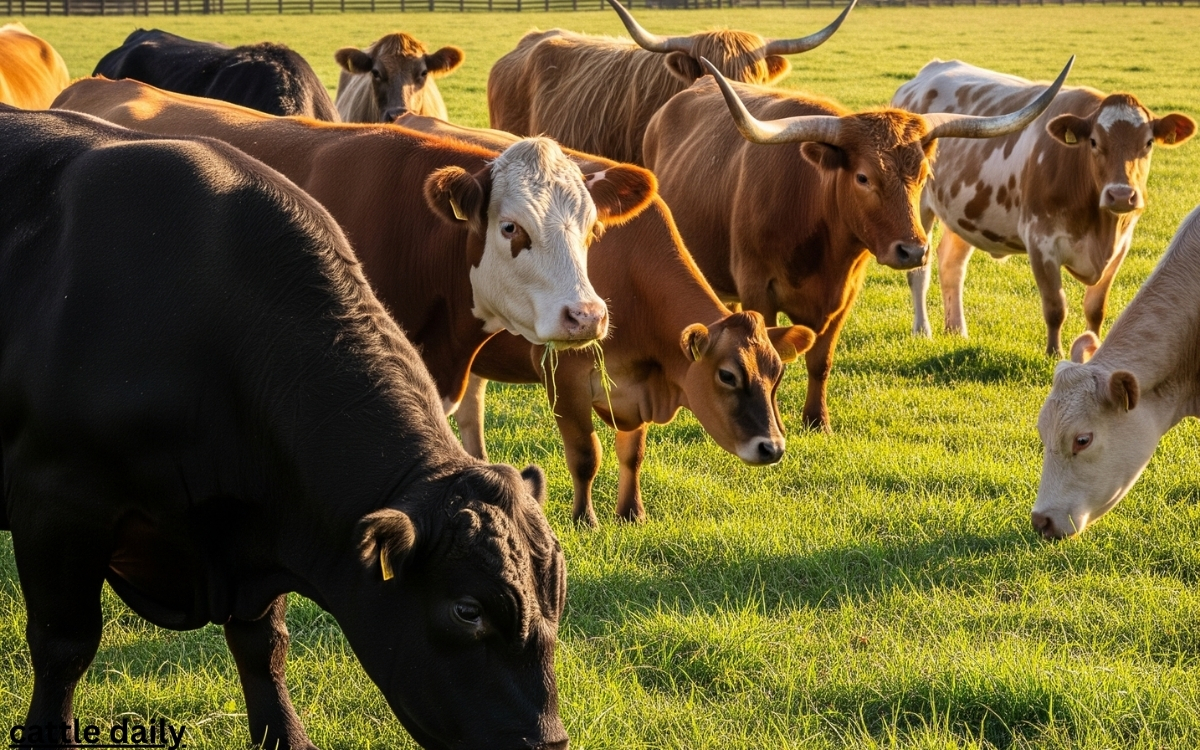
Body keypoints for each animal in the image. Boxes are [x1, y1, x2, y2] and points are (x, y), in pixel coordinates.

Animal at [0, 105, 567, 750]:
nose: (548, 740)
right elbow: (64, 647)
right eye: (467, 610)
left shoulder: (258, 522)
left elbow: (262, 646)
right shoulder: (56, 506)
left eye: (557, 595)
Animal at [396, 114, 815, 525]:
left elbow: (632, 452)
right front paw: (585, 519)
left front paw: (631, 512)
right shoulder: (563, 375)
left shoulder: (641, 379)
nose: (772, 447)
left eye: (777, 374)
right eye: (727, 375)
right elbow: (586, 454)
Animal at [643, 59, 1071, 431]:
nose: (914, 251)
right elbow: (762, 359)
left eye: (923, 174)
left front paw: (817, 421)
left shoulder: (844, 297)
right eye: (863, 177)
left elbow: (821, 361)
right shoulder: (757, 291)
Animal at [893, 60, 1196, 355]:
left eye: (1148, 143)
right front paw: (1054, 352)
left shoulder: (1121, 246)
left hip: (965, 213)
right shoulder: (1040, 241)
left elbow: (1096, 308)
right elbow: (1055, 307)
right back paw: (922, 331)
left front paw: (1093, 346)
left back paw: (957, 330)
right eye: (1094, 142)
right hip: (918, 208)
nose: (1121, 195)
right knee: (919, 271)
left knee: (951, 264)